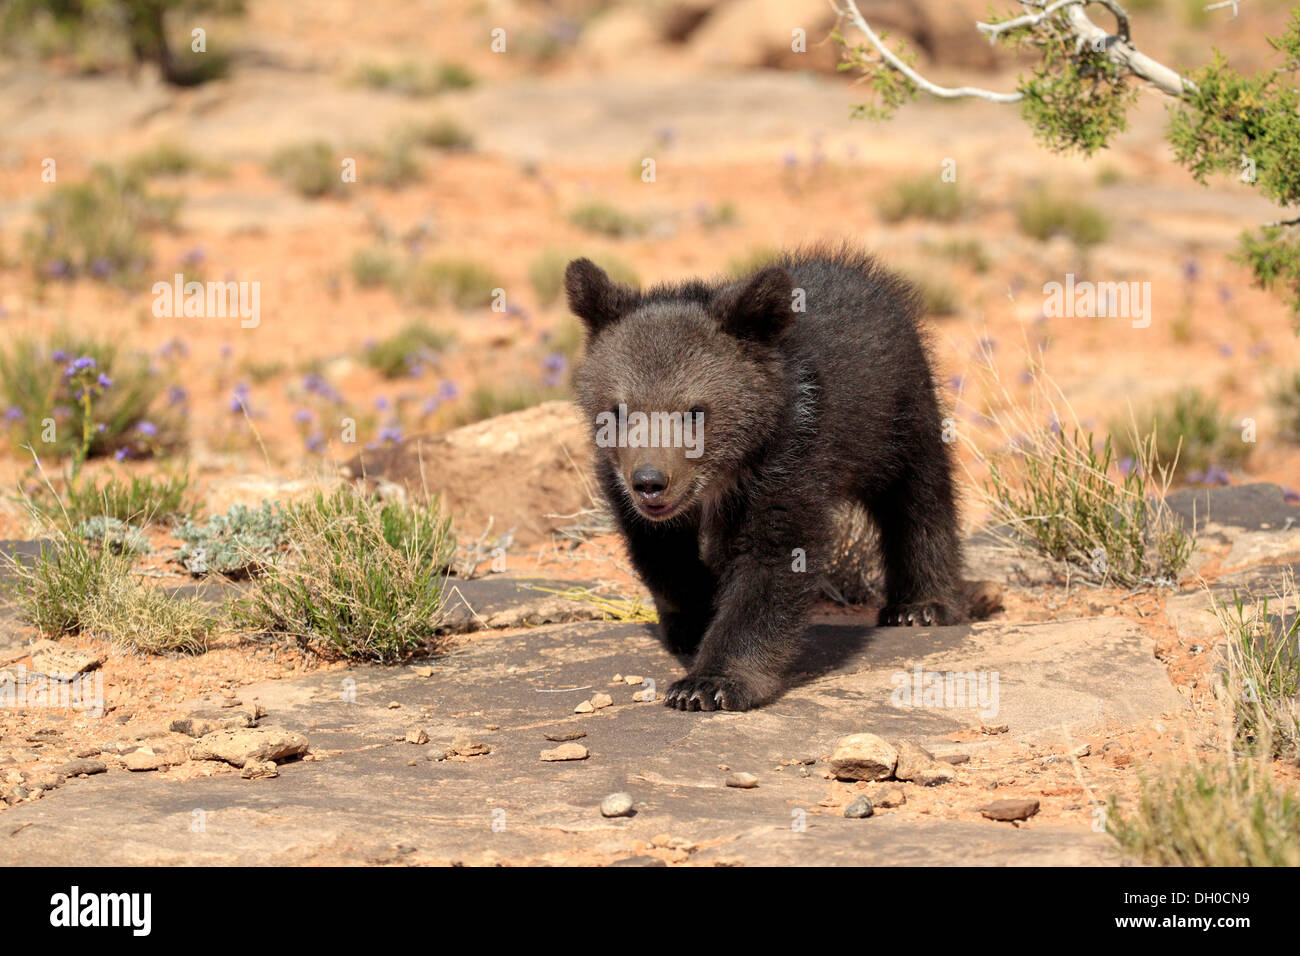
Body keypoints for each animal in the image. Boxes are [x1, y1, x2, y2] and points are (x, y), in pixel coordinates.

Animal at [566, 243, 964, 712]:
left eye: (694, 411)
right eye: (619, 409)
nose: (650, 481)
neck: (724, 474)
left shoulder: (789, 457)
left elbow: (773, 558)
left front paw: (709, 683)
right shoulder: (619, 479)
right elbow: (660, 550)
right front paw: (692, 622)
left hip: (896, 412)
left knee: (919, 493)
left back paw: (921, 605)